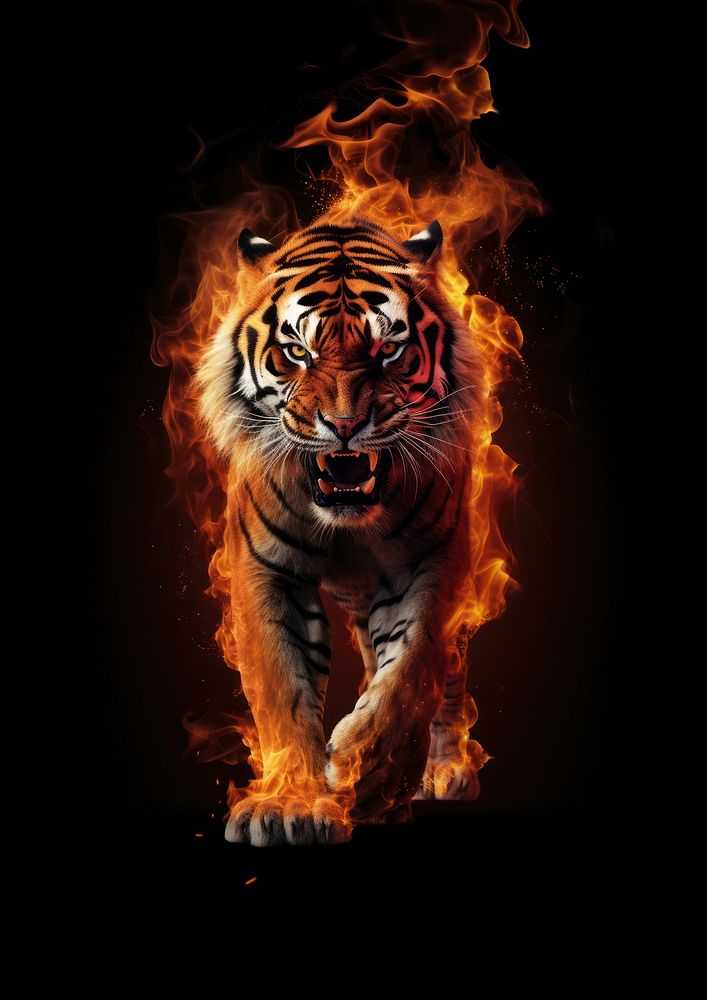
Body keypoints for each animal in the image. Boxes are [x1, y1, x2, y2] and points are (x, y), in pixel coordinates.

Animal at [196, 216, 488, 845]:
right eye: (297, 352)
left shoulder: (430, 561)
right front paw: (289, 805)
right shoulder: (267, 569)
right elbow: (282, 687)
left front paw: (368, 767)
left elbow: (411, 672)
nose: (345, 425)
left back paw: (444, 768)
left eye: (389, 349)